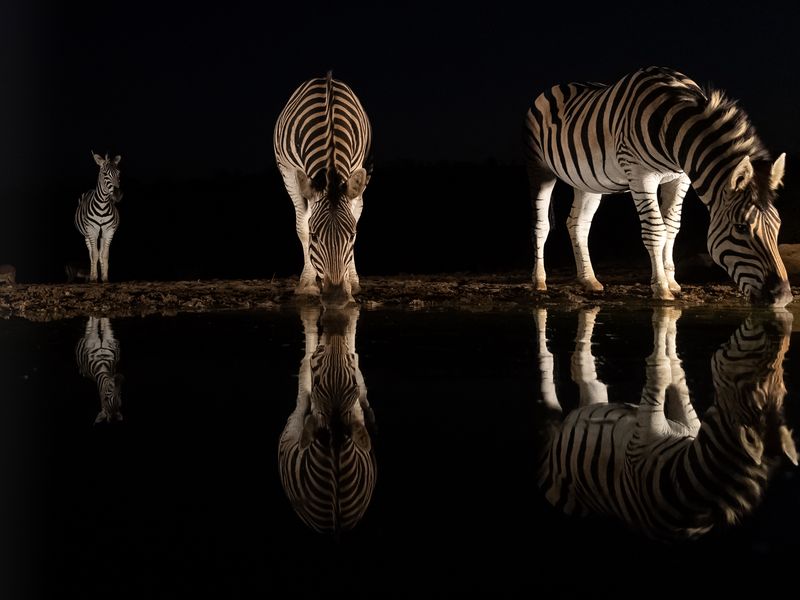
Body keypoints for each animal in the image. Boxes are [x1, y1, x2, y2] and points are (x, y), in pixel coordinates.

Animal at [75, 151, 123, 283]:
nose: (117, 195)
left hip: (101, 235)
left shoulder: (109, 231)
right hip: (87, 235)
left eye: (118, 173)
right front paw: (94, 278)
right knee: (92, 254)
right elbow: (94, 255)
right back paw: (93, 276)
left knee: (100, 253)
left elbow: (104, 255)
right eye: (105, 174)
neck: (102, 205)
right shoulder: (92, 231)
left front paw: (105, 278)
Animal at [274, 73, 373, 308]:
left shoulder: (354, 168)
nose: (336, 298)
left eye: (352, 236)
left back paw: (353, 280)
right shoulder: (289, 173)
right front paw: (307, 284)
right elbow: (301, 226)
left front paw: (349, 284)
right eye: (315, 236)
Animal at [524, 66, 791, 306]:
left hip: (586, 181)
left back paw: (589, 280)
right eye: (741, 227)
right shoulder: (641, 175)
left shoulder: (679, 178)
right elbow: (655, 229)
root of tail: (560, 85)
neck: (671, 125)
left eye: (778, 225)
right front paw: (661, 288)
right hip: (540, 169)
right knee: (541, 224)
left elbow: (671, 227)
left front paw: (672, 282)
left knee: (577, 224)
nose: (783, 297)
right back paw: (539, 282)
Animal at [532, 306, 798, 542]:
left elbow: (661, 369)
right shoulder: (687, 423)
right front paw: (669, 314)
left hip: (569, 434)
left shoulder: (642, 439)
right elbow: (676, 370)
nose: (779, 337)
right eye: (772, 389)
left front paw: (663, 316)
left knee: (574, 374)